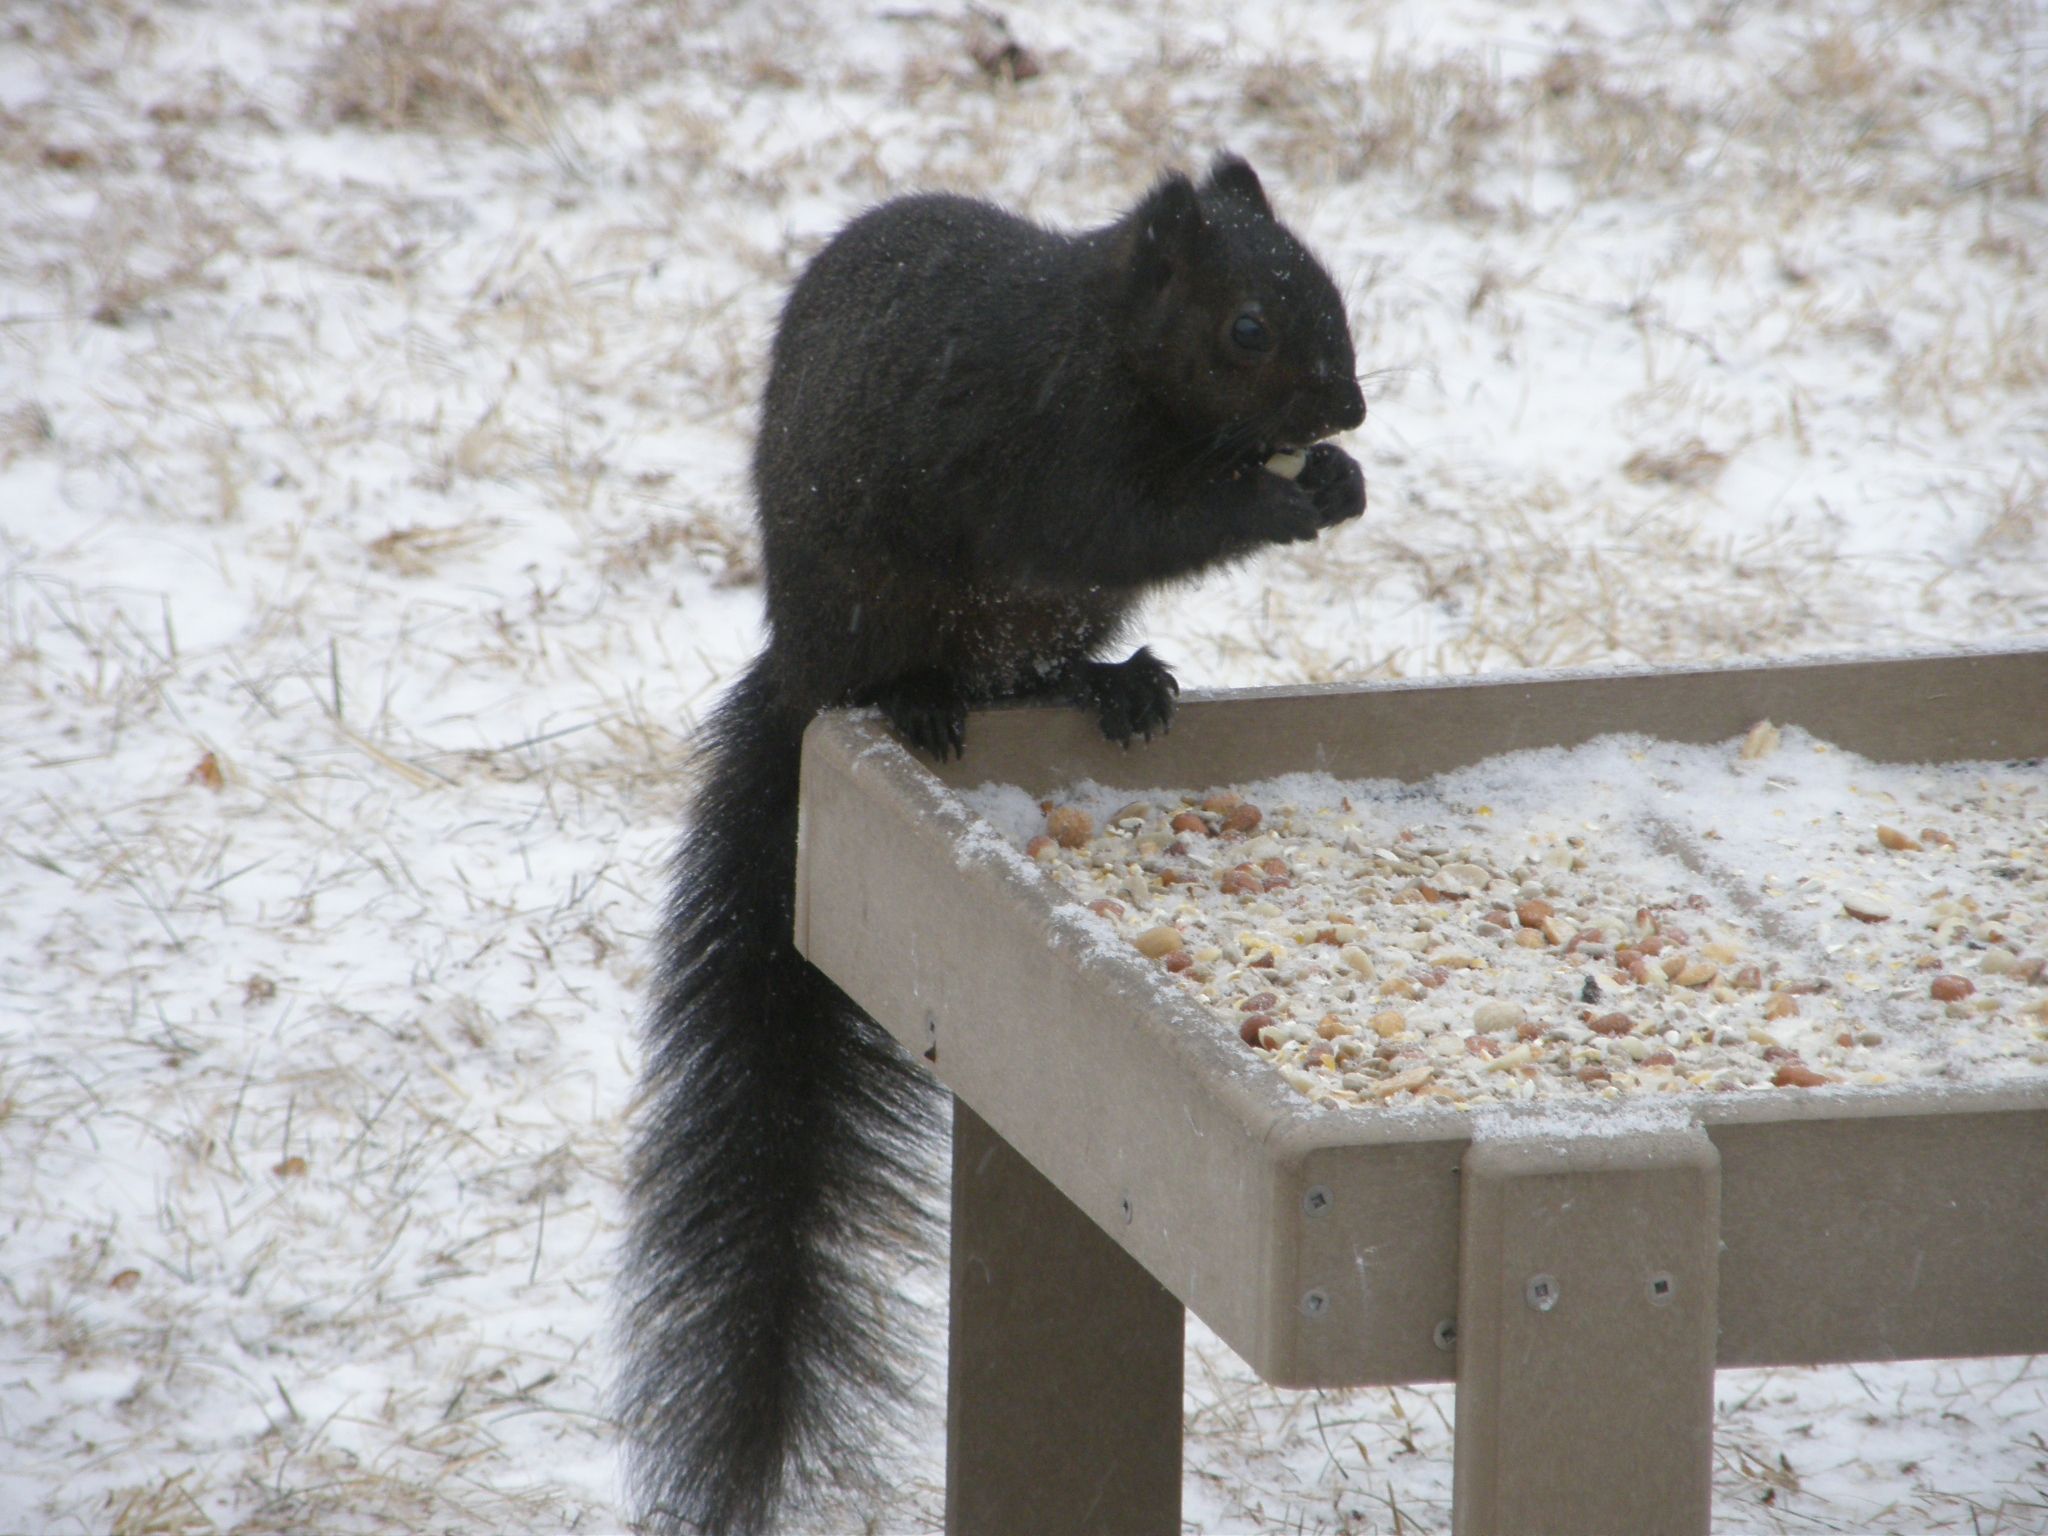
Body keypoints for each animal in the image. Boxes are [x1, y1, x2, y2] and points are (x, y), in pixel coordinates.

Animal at [618, 153, 1367, 1536]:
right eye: (1246, 327)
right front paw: (1285, 496)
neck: (1110, 344)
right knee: (922, 670)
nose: (1345, 403)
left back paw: (1117, 684)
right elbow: (1135, 518)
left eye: (1329, 288)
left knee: (1041, 674)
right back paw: (920, 701)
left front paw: (1334, 479)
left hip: (1046, 620)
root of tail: (796, 667)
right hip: (877, 604)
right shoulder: (1052, 448)